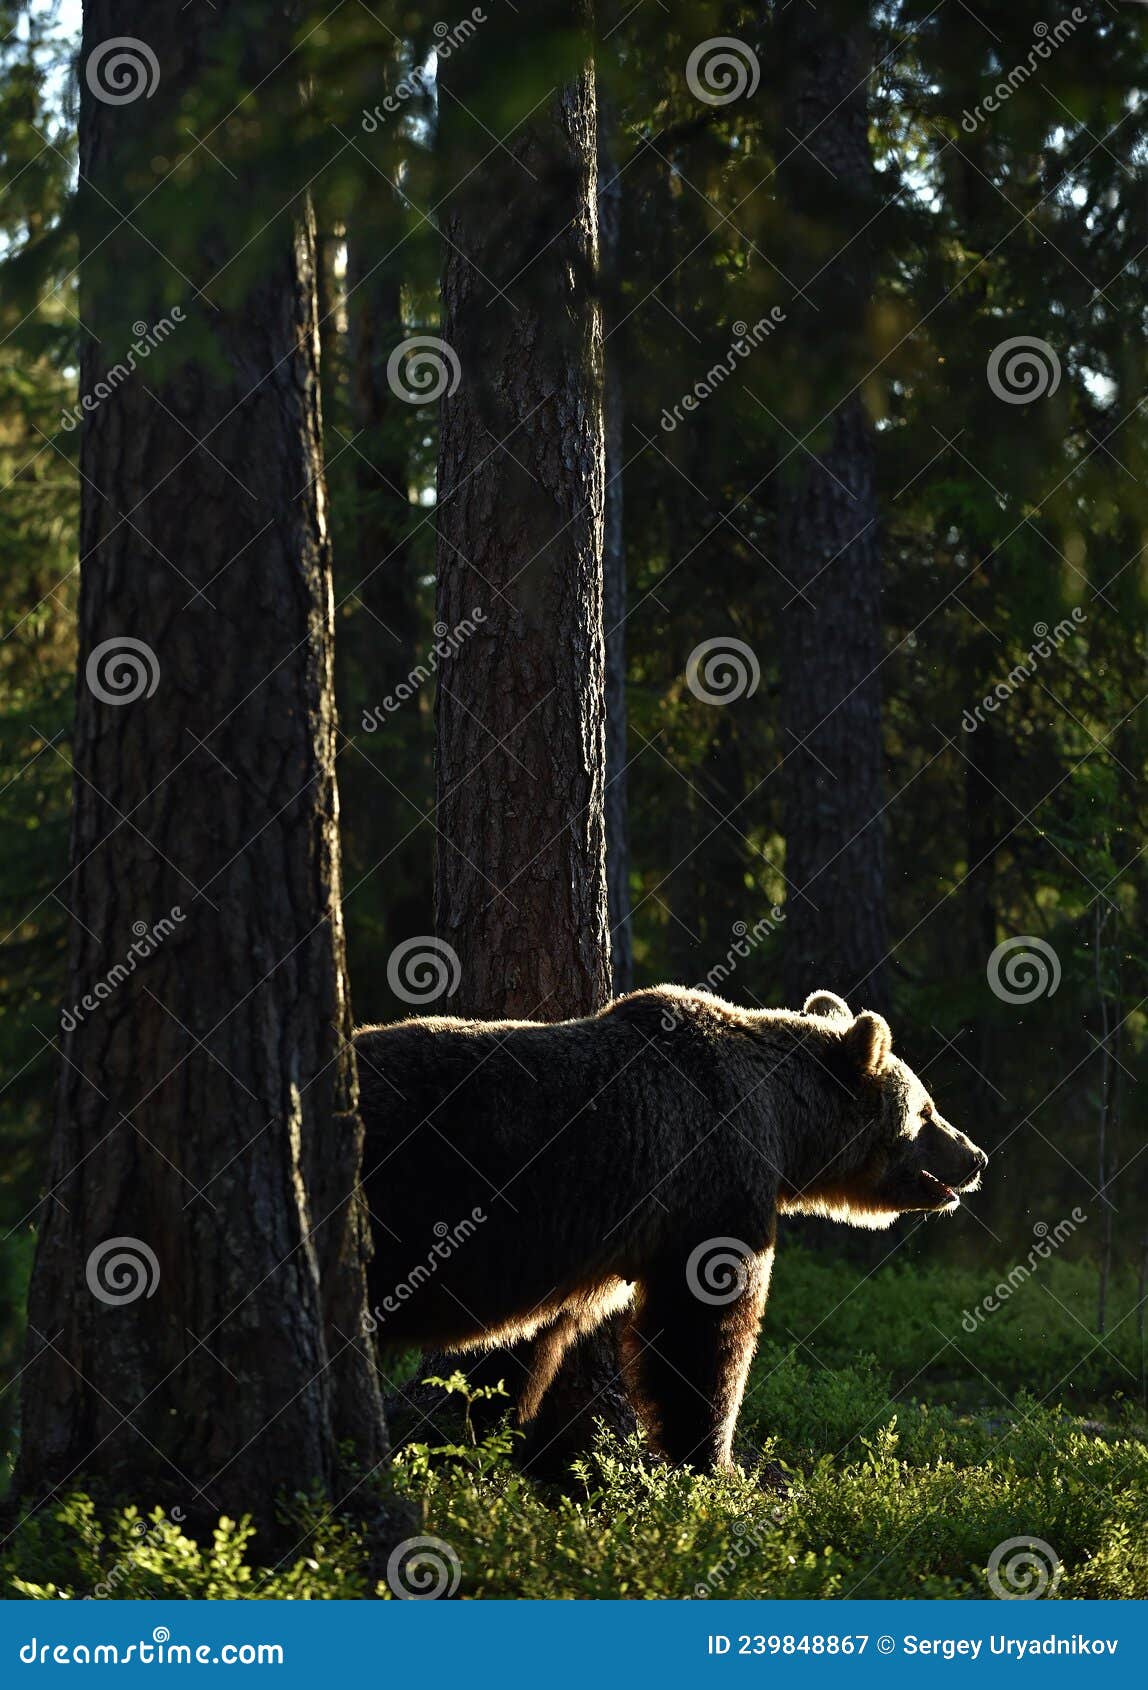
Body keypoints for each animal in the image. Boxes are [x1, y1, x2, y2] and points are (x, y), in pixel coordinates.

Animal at [354, 985, 987, 1473]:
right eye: (926, 1110)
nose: (975, 1156)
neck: (781, 1129)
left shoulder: (570, 1249)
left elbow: (523, 1342)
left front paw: (482, 1432)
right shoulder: (709, 1189)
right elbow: (700, 1334)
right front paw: (711, 1458)